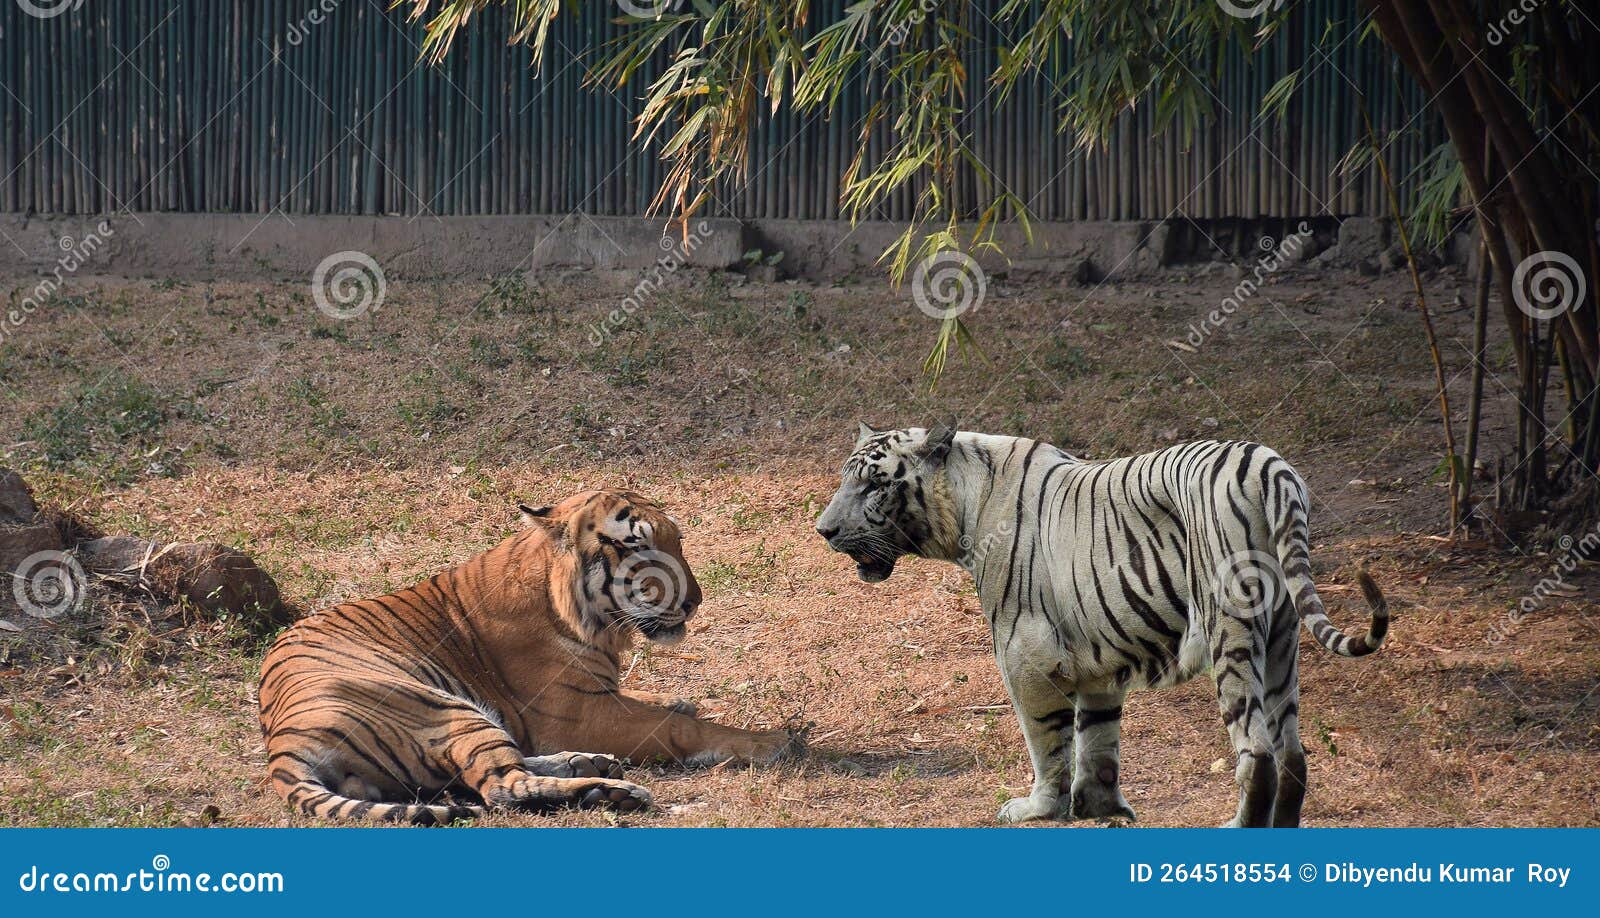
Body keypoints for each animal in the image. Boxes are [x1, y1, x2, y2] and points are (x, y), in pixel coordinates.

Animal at [258, 488, 801, 825]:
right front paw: (769, 741)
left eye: (678, 540)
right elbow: (682, 728)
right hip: (439, 705)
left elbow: (658, 703)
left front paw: (677, 698)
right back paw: (611, 789)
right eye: (639, 547)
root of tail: (281, 746)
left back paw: (592, 767)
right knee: (502, 786)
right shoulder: (580, 712)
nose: (695, 602)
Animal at [814, 425, 1388, 827]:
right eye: (846, 479)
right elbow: (1098, 739)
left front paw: (1038, 808)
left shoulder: (1024, 655)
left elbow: (1047, 741)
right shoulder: (1098, 657)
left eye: (873, 485)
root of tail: (1271, 467)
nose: (824, 530)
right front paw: (1101, 807)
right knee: (1292, 754)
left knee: (1259, 753)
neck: (965, 502)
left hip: (1232, 629)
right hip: (1283, 639)